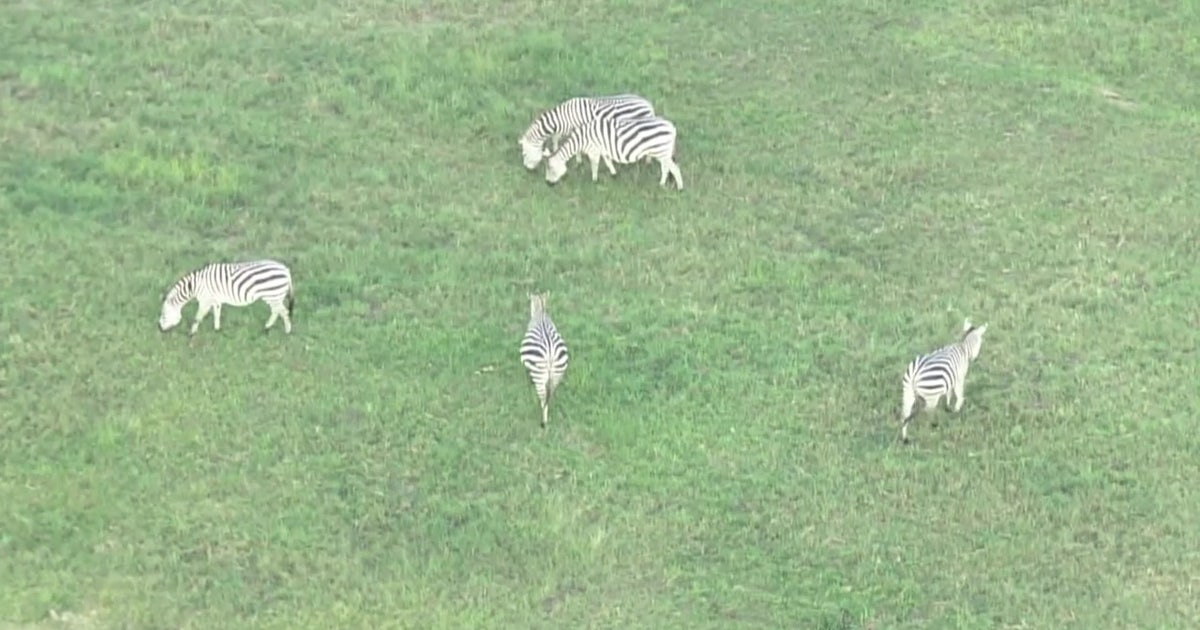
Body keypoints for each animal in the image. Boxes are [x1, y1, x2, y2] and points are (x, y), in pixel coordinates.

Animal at [158, 259, 295, 336]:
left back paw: (286, 331)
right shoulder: (216, 300)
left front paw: (191, 333)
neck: (195, 286)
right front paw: (217, 329)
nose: (160, 330)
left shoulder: (205, 300)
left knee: (282, 311)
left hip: (273, 295)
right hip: (275, 296)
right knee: (277, 311)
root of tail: (285, 269)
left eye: (164, 315)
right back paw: (268, 327)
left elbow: (197, 318)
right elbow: (217, 314)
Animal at [519, 94, 655, 170]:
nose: (527, 170)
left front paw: (578, 161)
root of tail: (648, 104)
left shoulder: (578, 129)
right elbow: (555, 139)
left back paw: (648, 162)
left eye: (524, 154)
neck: (564, 118)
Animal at [519, 292, 569, 427]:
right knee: (549, 395)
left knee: (543, 398)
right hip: (557, 374)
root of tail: (550, 353)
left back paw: (544, 421)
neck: (540, 313)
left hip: (540, 374)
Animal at [544, 115, 683, 190]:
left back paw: (674, 187)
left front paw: (594, 180)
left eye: (551, 170)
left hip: (661, 152)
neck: (581, 139)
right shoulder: (603, 150)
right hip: (662, 153)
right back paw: (668, 185)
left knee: (672, 168)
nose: (548, 184)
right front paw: (614, 174)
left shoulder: (594, 150)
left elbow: (594, 165)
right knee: (669, 168)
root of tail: (671, 127)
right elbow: (608, 161)